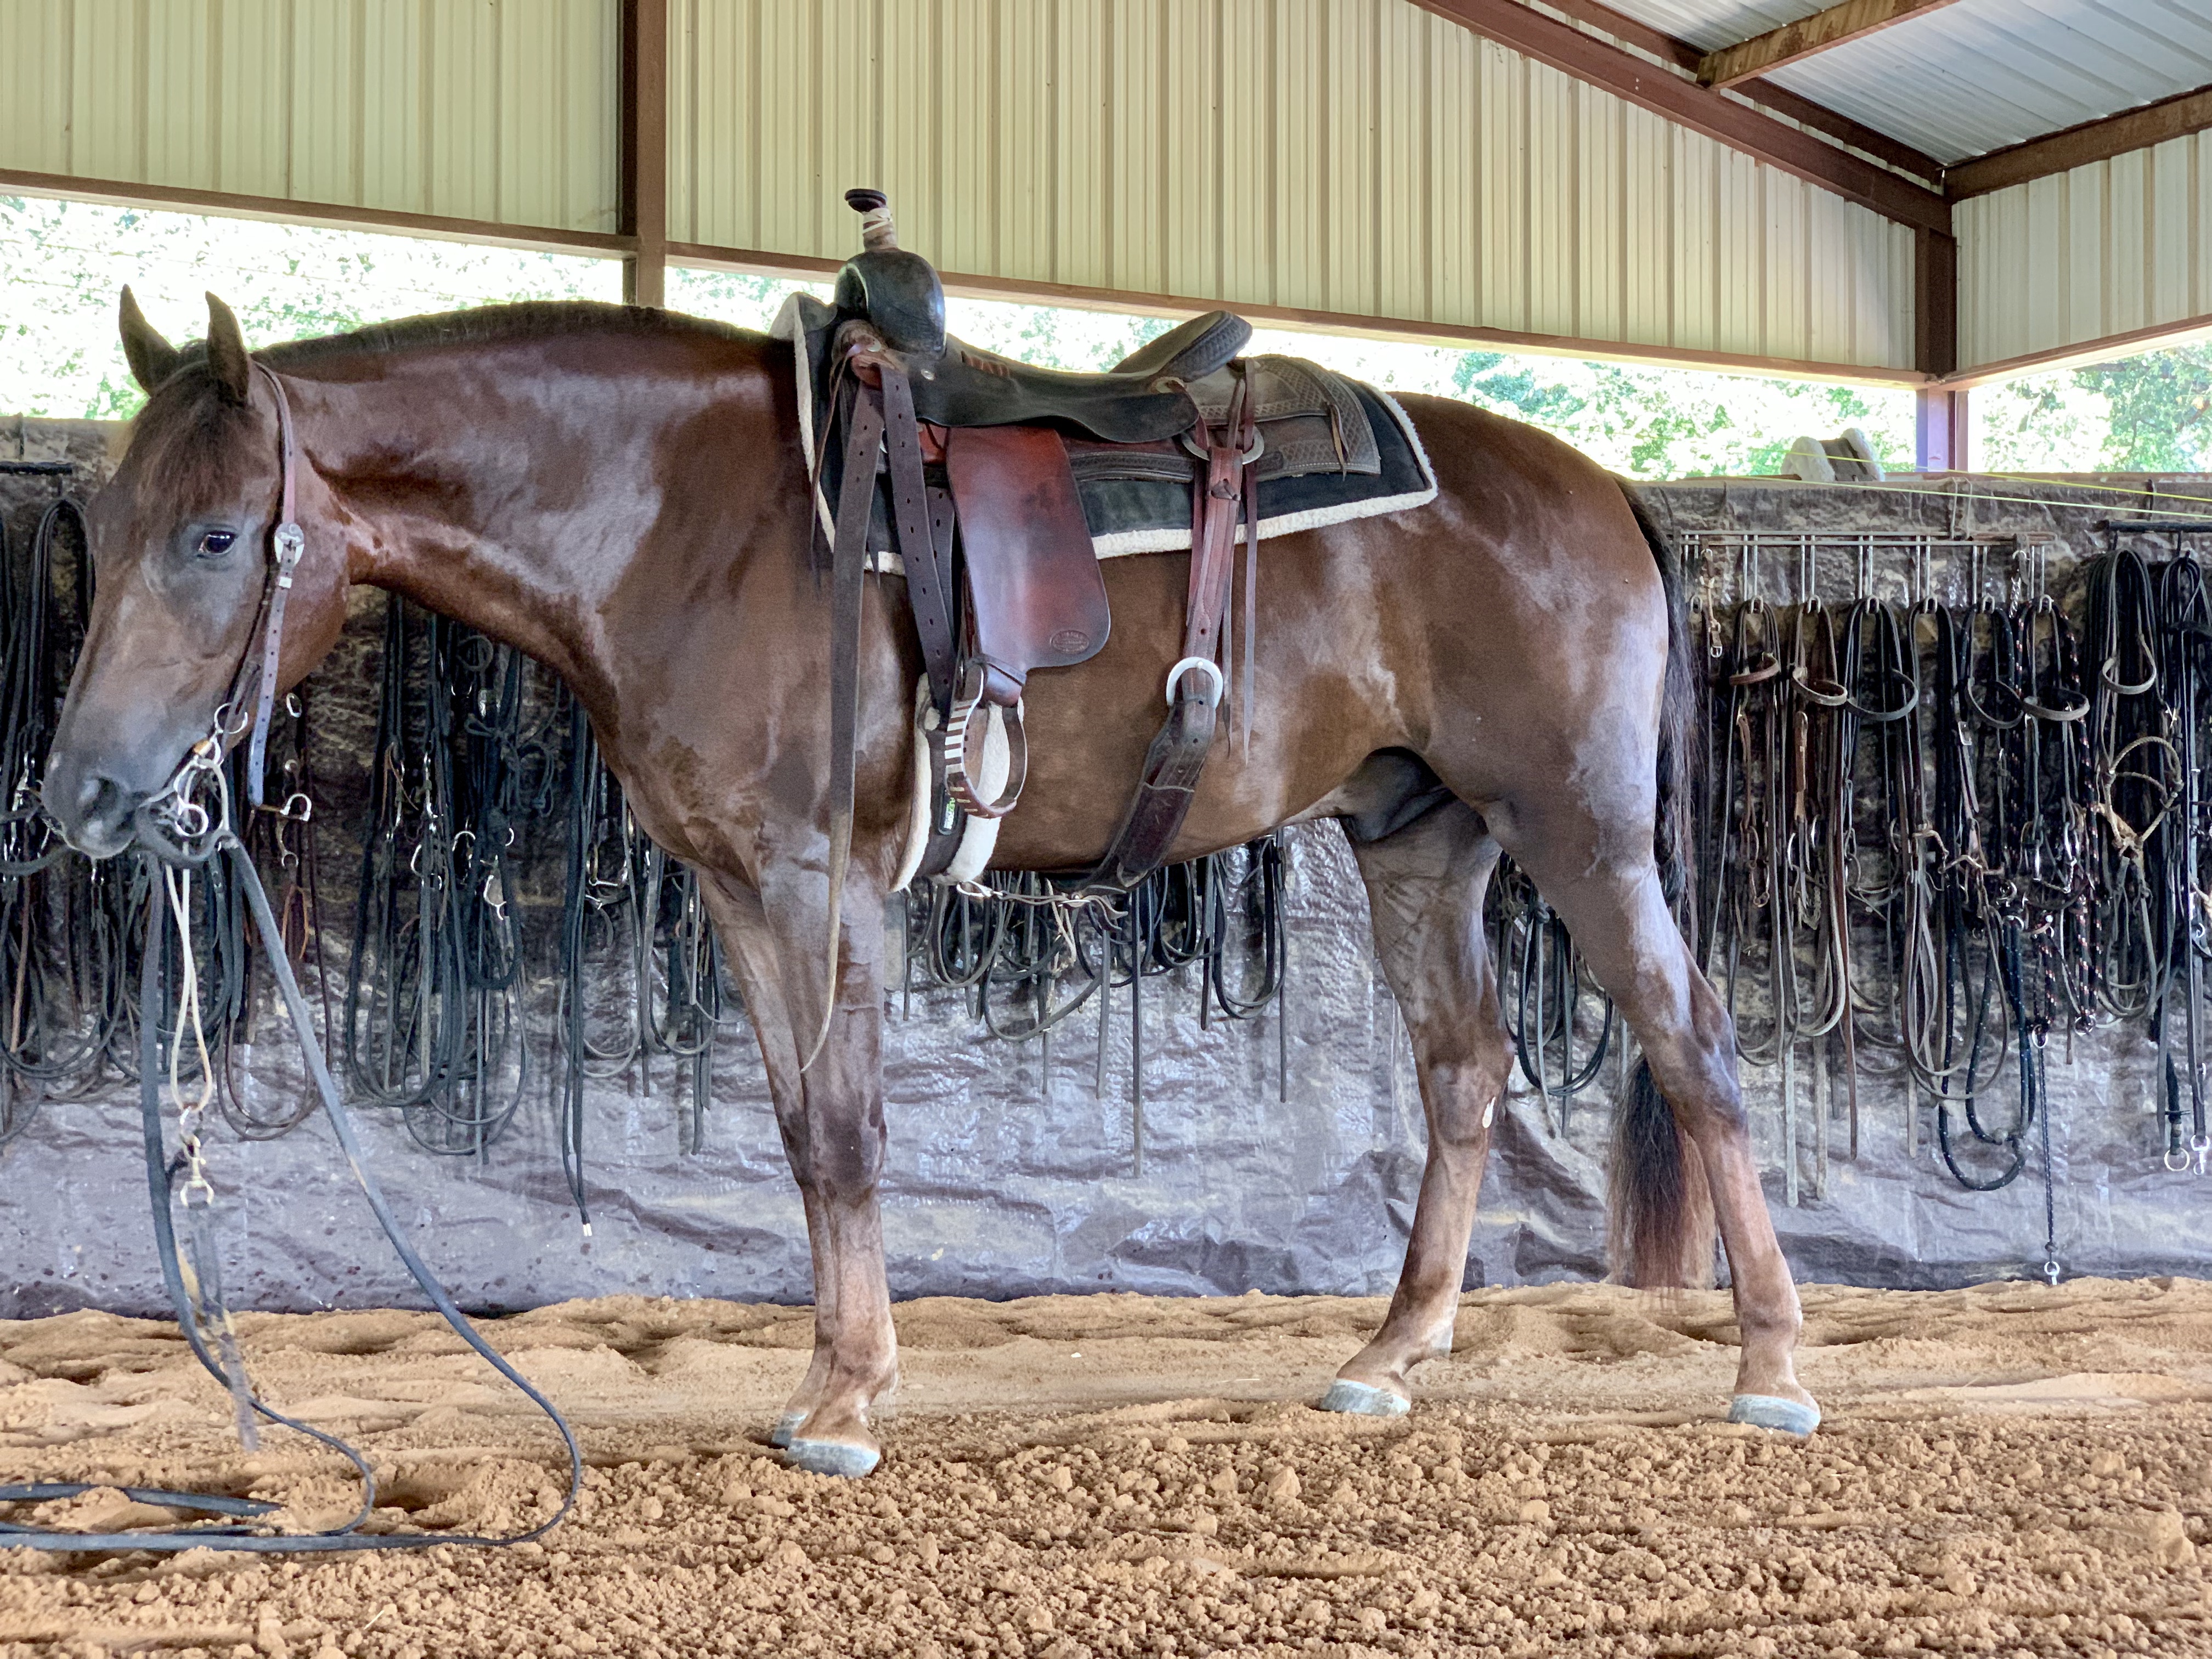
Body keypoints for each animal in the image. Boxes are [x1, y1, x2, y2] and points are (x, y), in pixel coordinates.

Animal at [42, 290, 1817, 1477]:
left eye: (215, 536)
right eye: (102, 526)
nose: (83, 798)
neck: (680, 520)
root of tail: (1601, 491)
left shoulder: (818, 882)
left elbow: (847, 1132)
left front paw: (845, 1404)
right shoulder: (740, 892)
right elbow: (802, 1133)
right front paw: (832, 1381)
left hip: (1581, 829)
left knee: (1695, 1047)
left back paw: (1774, 1366)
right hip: (1420, 838)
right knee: (1463, 1068)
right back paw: (1389, 1354)